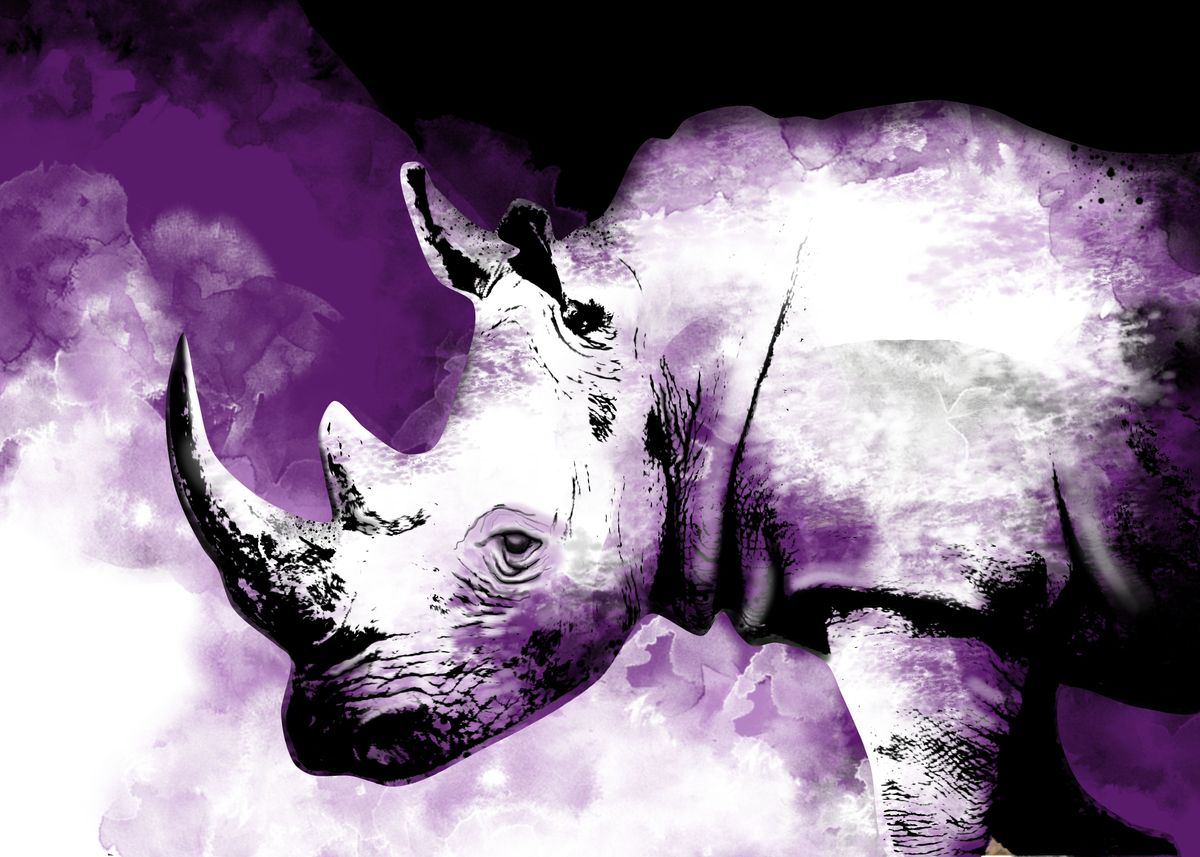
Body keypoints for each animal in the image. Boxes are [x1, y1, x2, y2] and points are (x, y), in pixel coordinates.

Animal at [167, 106, 1199, 856]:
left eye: (515, 546)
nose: (322, 735)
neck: (675, 331)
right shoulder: (979, 589)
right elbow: (1041, 799)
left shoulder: (931, 586)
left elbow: (931, 811)